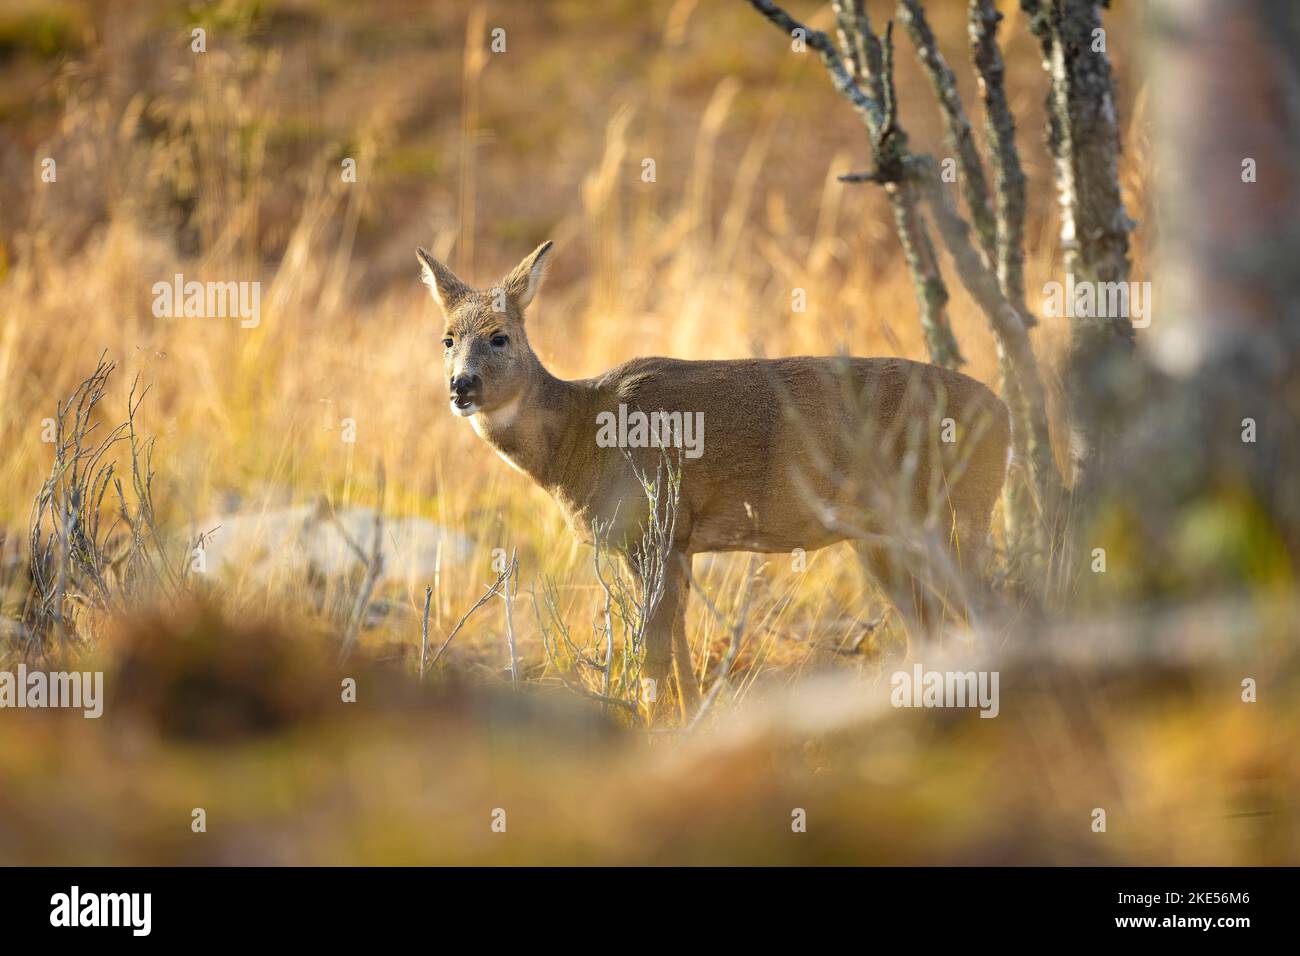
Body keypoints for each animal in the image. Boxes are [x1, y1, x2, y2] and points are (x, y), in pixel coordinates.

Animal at [419, 240, 1011, 720]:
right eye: (447, 339)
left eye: (499, 336)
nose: (462, 386)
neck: (578, 438)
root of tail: (1004, 416)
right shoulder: (674, 543)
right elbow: (679, 651)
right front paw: (689, 718)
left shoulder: (655, 525)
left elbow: (654, 651)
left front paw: (653, 725)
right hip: (883, 538)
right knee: (934, 626)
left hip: (954, 514)